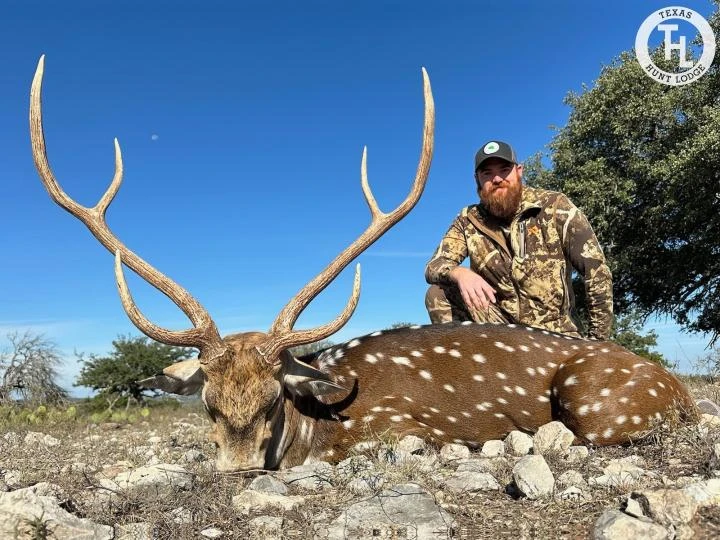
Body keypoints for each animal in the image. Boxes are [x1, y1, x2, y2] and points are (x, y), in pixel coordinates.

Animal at [30, 56, 697, 472]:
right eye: (210, 407)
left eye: (273, 401)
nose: (238, 475)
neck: (316, 420)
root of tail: (683, 390)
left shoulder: (394, 425)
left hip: (600, 402)